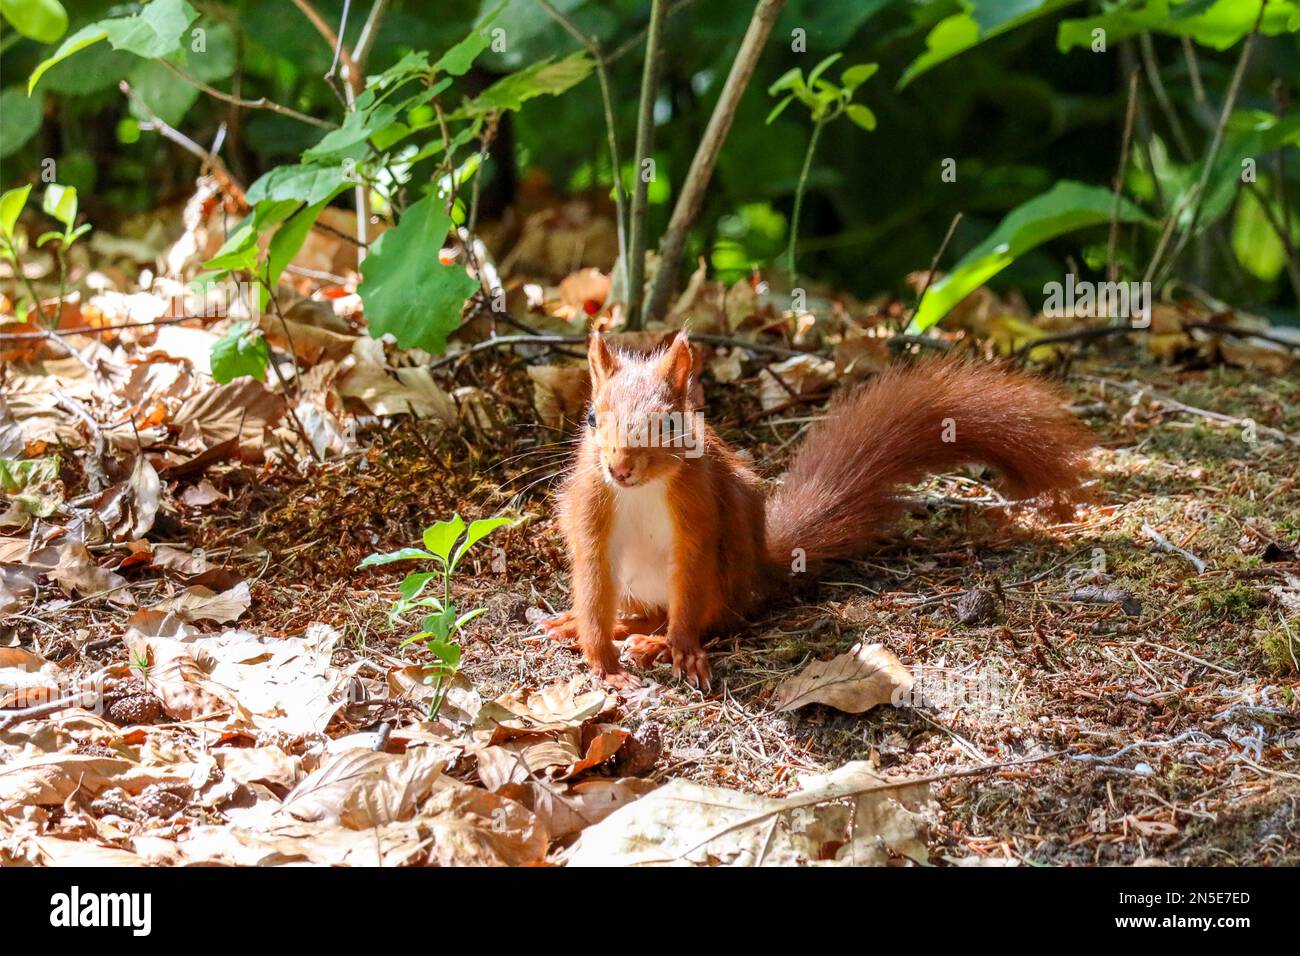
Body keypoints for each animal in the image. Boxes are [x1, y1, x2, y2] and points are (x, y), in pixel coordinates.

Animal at [543, 331, 1094, 690]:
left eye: (671, 424)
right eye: (591, 418)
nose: (620, 468)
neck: (642, 491)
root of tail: (759, 571)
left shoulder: (699, 518)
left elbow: (689, 594)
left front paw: (680, 649)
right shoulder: (592, 513)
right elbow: (592, 585)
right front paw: (604, 661)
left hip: (723, 578)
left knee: (707, 616)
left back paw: (654, 640)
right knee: (633, 608)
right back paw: (597, 627)